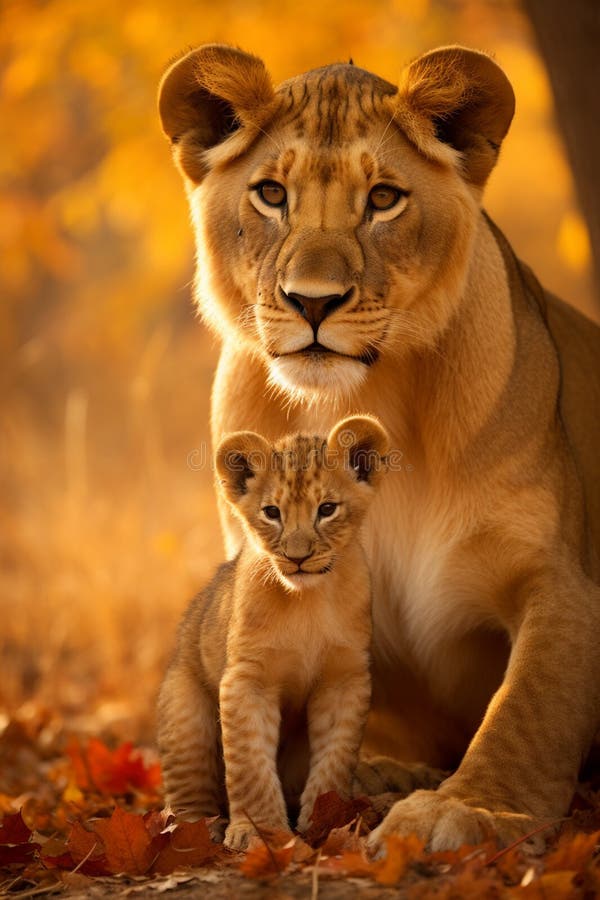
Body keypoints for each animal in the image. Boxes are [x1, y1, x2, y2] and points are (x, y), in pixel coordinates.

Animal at [157, 44, 600, 851]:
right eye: (272, 194)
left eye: (385, 199)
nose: (313, 301)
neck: (360, 402)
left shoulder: (562, 579)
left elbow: (529, 706)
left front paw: (472, 809)